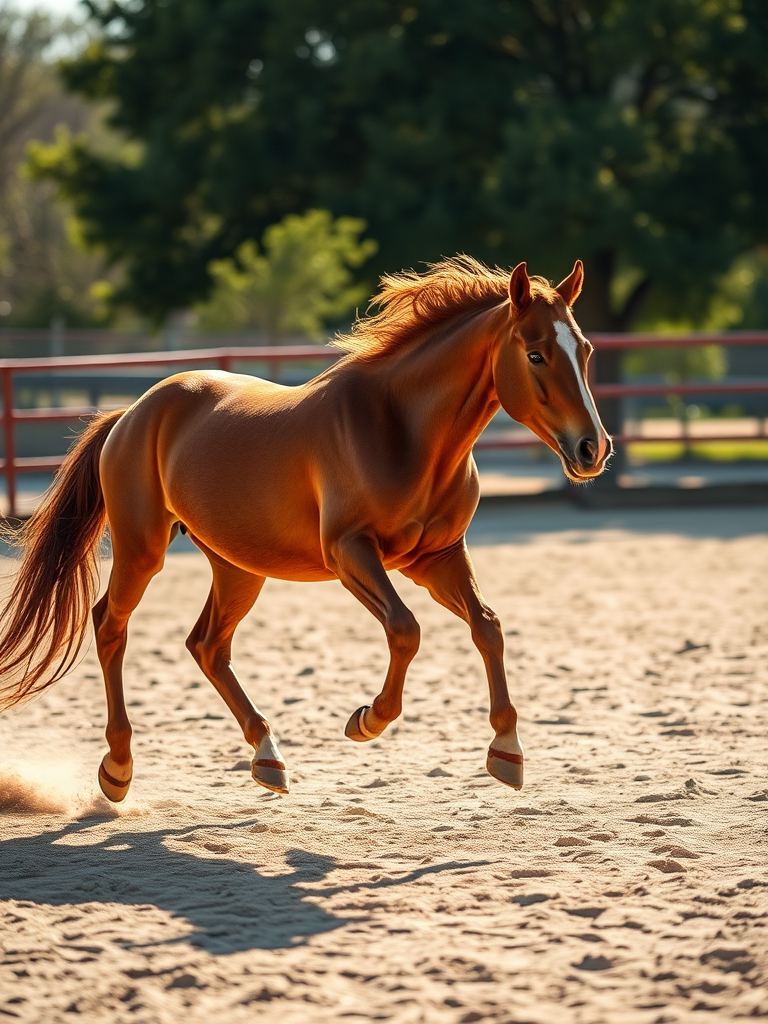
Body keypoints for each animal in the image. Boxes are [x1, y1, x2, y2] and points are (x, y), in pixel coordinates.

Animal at [0, 257, 610, 801]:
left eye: (584, 350)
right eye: (535, 353)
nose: (593, 449)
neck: (403, 430)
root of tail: (130, 414)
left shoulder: (436, 557)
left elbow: (488, 627)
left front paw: (507, 751)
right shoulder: (350, 553)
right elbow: (406, 629)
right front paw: (366, 720)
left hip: (238, 567)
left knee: (207, 645)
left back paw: (267, 758)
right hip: (142, 549)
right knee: (111, 626)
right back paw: (119, 768)